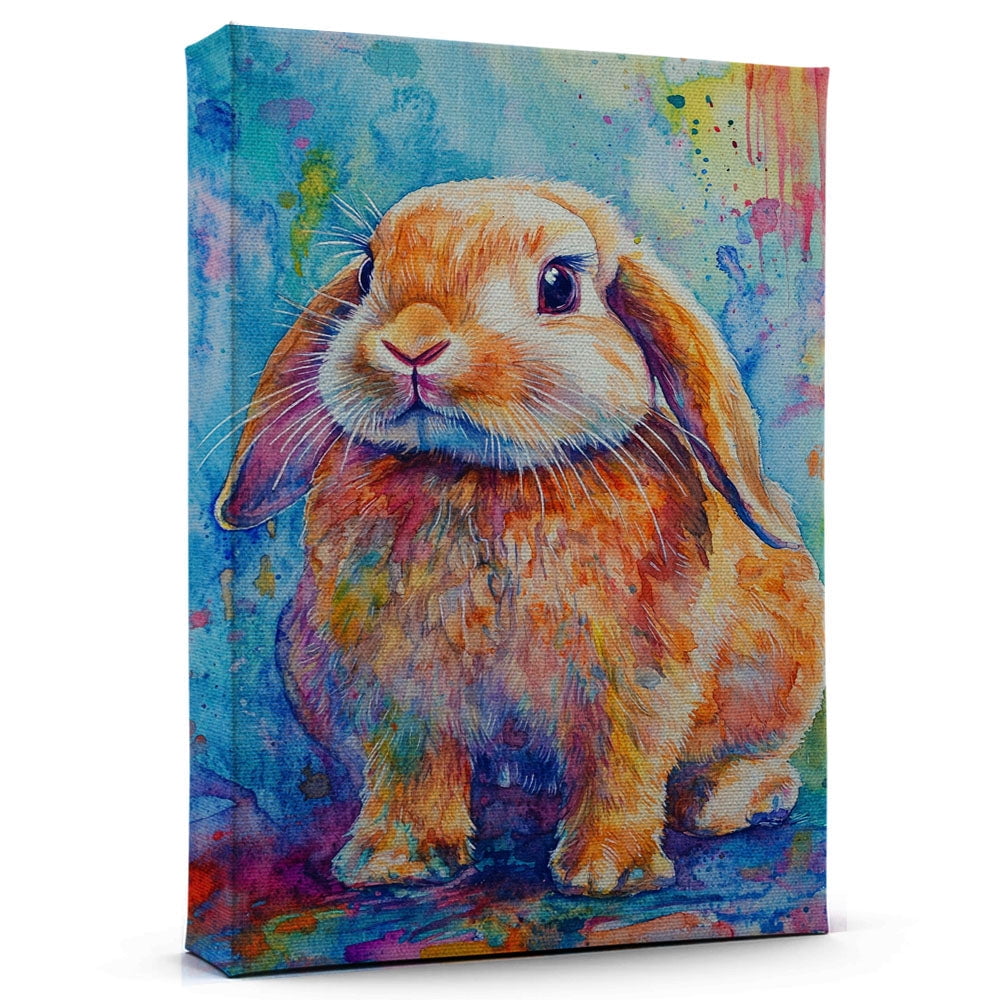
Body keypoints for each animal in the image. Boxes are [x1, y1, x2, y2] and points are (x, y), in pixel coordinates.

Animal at [214, 178, 824, 897]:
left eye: (558, 285)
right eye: (367, 275)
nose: (412, 343)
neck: (480, 474)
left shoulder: (635, 681)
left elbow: (622, 768)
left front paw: (606, 873)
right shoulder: (402, 685)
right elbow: (411, 766)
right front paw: (393, 862)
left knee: (750, 754)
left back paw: (726, 800)